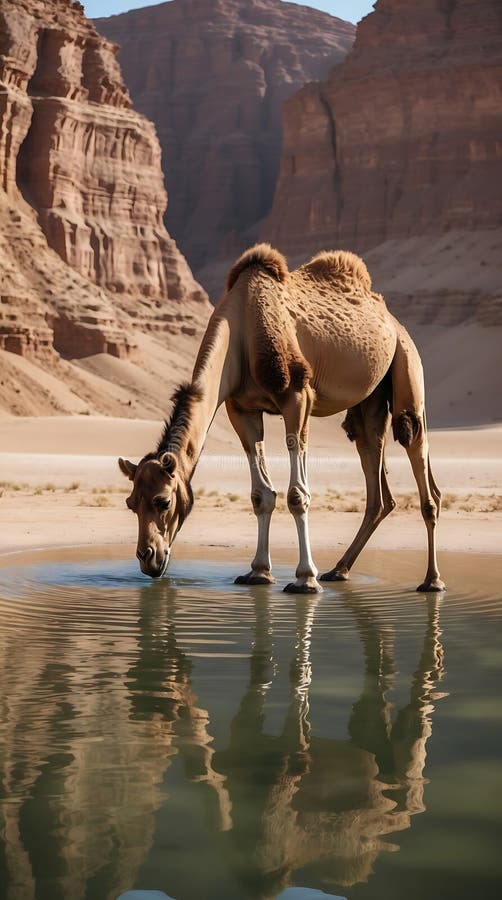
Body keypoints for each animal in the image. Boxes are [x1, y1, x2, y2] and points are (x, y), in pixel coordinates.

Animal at [119, 243, 445, 593]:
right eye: (131, 503)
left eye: (163, 501)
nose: (148, 558)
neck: (242, 330)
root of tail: (392, 321)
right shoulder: (242, 409)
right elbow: (261, 495)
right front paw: (259, 573)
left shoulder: (297, 396)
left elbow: (297, 495)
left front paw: (305, 578)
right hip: (368, 403)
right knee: (377, 485)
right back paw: (339, 570)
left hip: (407, 365)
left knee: (418, 455)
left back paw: (432, 580)